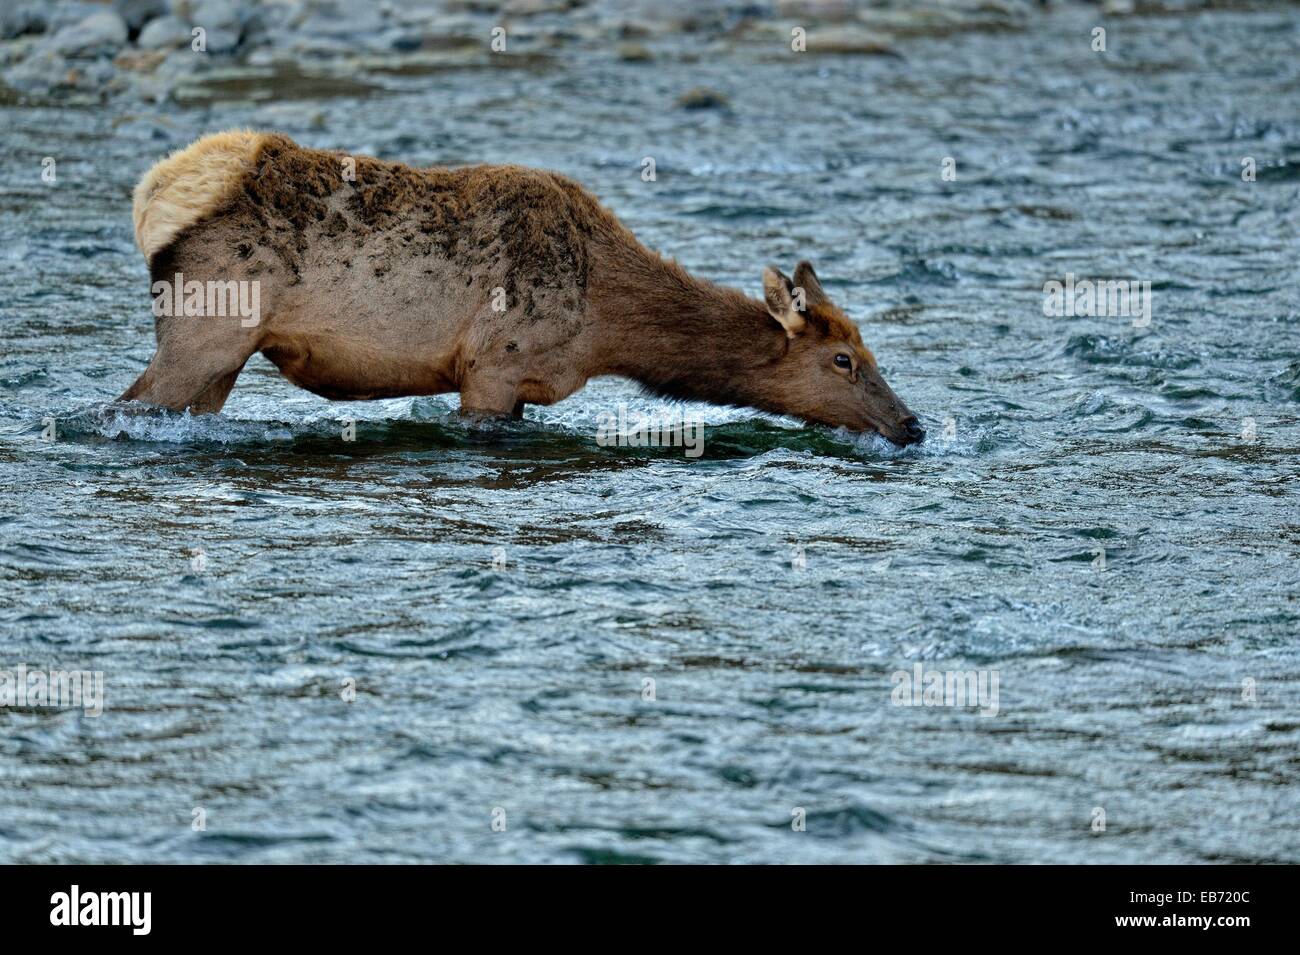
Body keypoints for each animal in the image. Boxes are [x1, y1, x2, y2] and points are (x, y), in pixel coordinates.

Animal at [121, 131, 925, 446]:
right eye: (844, 360)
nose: (912, 423)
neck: (605, 325)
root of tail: (153, 194)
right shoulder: (492, 367)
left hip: (223, 360)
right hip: (205, 333)